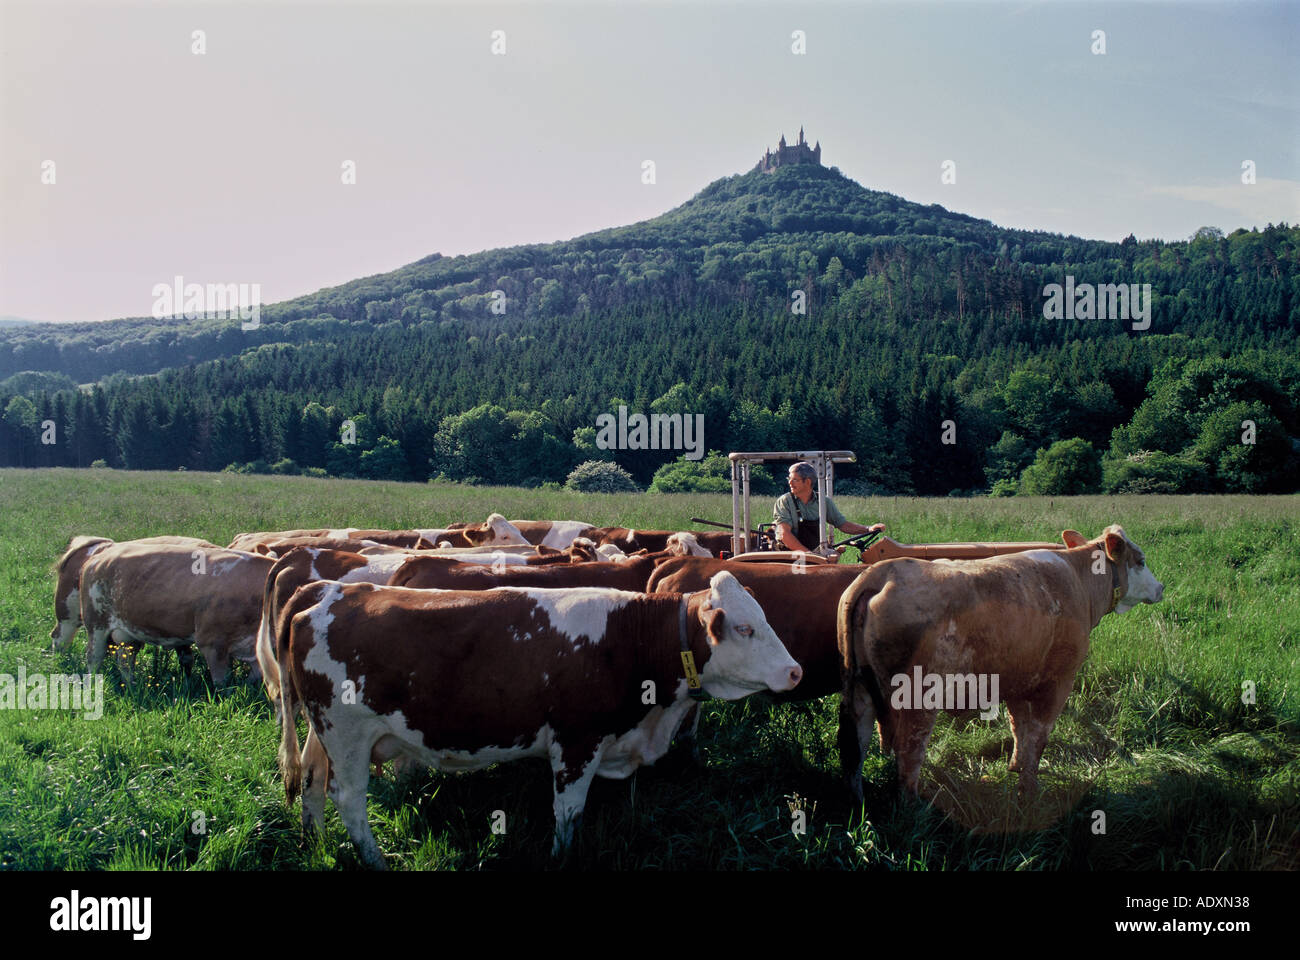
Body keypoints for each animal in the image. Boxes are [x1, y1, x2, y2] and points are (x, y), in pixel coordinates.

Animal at [80, 541, 274, 686]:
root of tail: (97, 558)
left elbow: (257, 676)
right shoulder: (212, 643)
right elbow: (222, 683)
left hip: (127, 633)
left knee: (125, 661)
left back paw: (131, 686)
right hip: (96, 626)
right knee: (93, 658)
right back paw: (93, 686)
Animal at [275, 571, 803, 867]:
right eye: (745, 628)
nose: (795, 671)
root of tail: (328, 589)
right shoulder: (577, 741)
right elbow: (568, 814)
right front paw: (561, 858)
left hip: (323, 733)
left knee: (312, 784)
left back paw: (313, 842)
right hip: (348, 734)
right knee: (349, 801)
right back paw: (375, 861)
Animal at [836, 525, 1164, 804]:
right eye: (1141, 560)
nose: (1160, 587)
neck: (1078, 580)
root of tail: (885, 571)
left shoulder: (1020, 679)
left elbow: (1020, 728)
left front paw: (1016, 766)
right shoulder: (1058, 681)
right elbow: (1039, 735)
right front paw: (1029, 789)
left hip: (861, 688)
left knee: (856, 743)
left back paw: (858, 801)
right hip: (920, 697)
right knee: (908, 749)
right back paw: (913, 805)